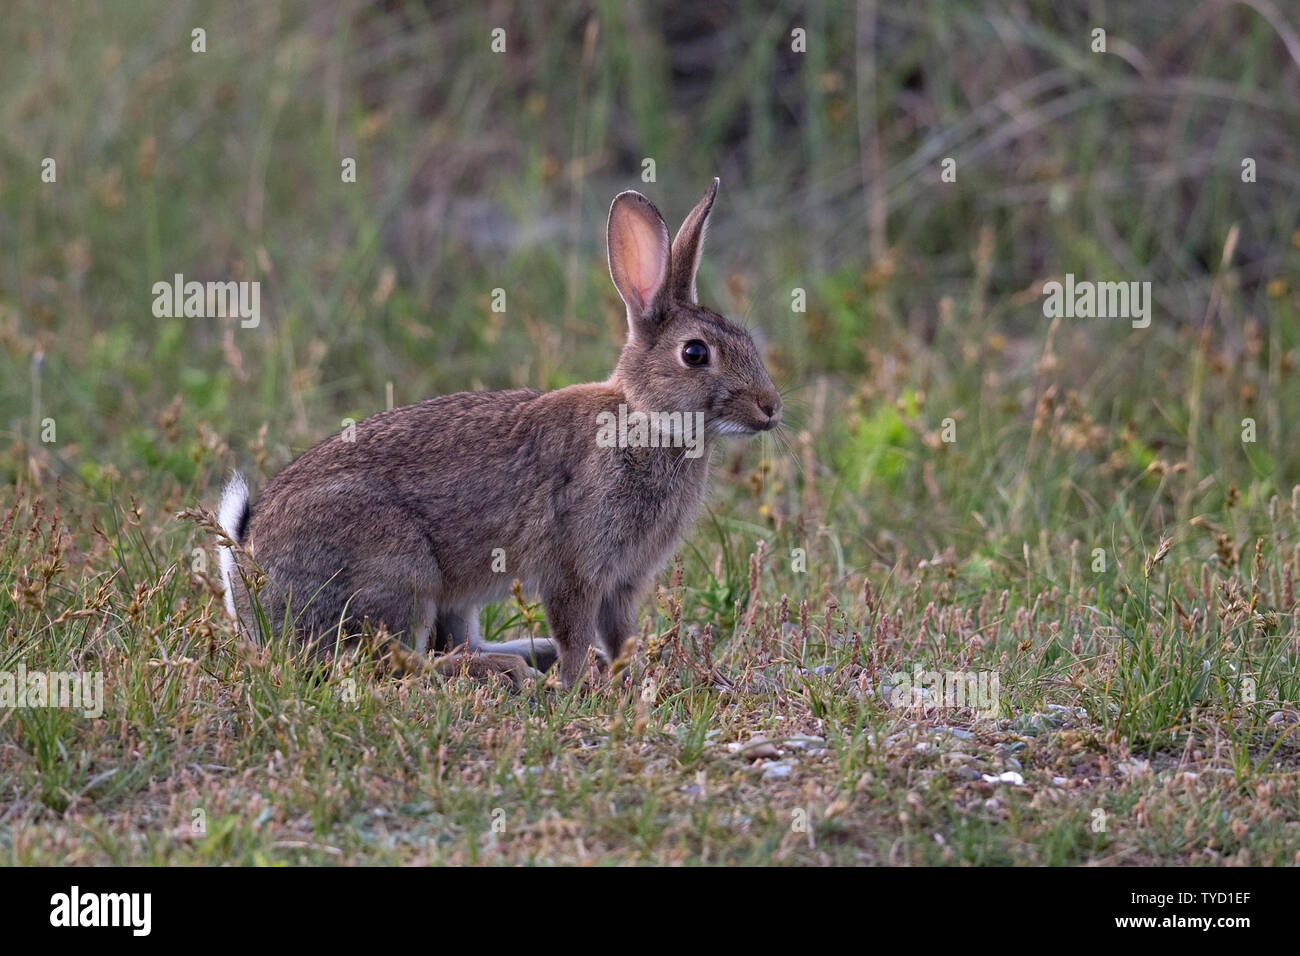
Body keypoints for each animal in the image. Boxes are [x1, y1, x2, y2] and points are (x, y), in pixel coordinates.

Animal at [217, 178, 782, 687]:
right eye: (695, 353)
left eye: (747, 339)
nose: (771, 408)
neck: (643, 418)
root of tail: (246, 567)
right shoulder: (574, 567)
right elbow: (576, 629)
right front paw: (580, 685)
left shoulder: (623, 580)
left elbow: (620, 634)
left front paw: (630, 676)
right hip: (398, 572)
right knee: (392, 662)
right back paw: (508, 670)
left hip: (449, 595)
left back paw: (528, 656)